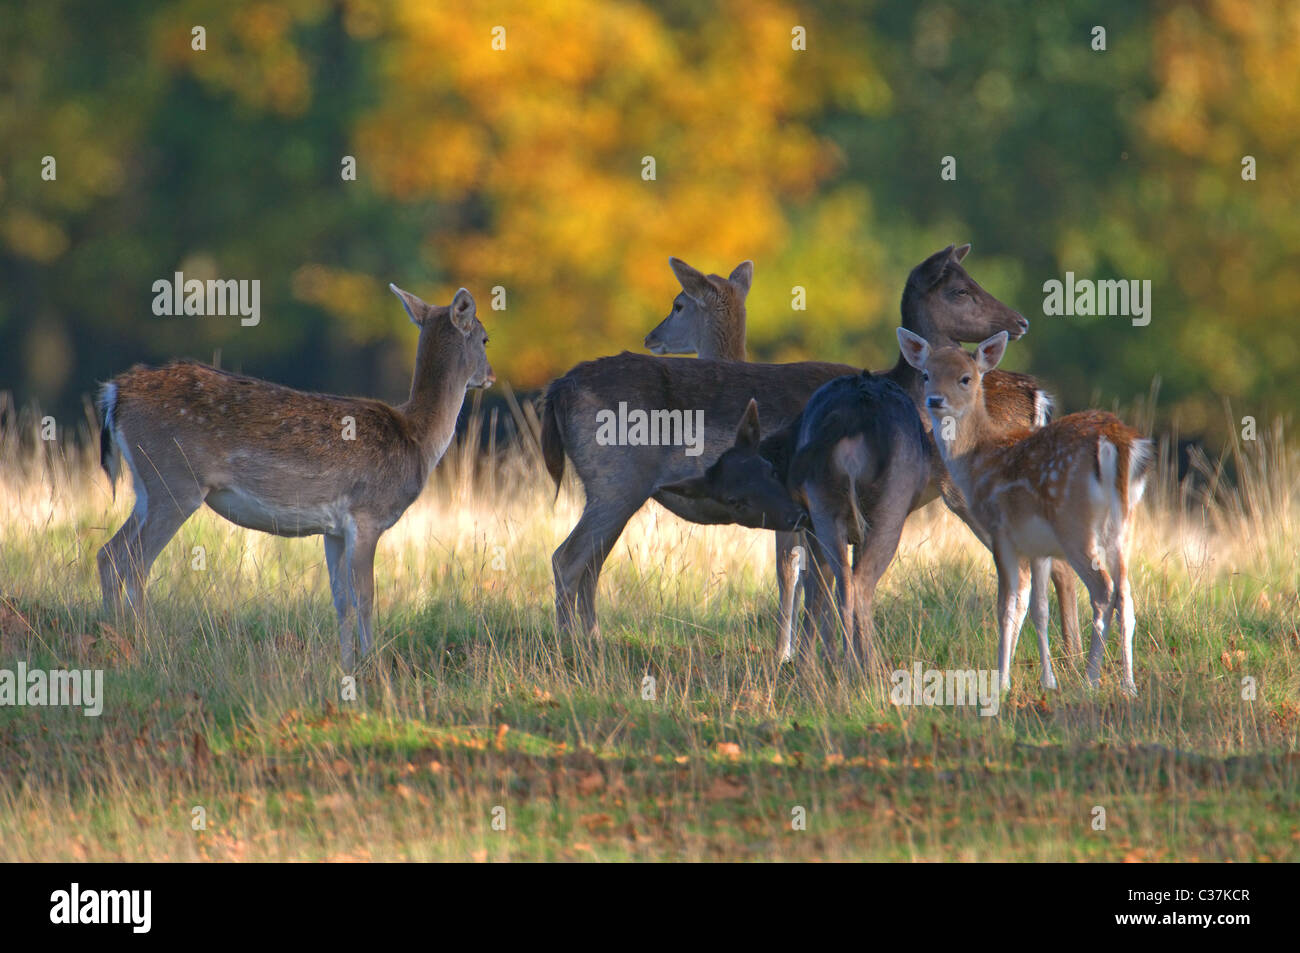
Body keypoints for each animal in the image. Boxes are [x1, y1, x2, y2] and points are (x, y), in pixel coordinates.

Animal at [96, 285, 493, 668]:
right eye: (485, 338)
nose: (490, 376)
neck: (417, 440)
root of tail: (115, 393)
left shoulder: (335, 530)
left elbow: (341, 599)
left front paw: (347, 665)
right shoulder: (367, 514)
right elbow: (366, 597)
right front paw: (374, 664)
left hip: (146, 488)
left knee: (107, 553)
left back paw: (115, 640)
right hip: (176, 481)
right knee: (135, 561)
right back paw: (144, 647)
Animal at [898, 328, 1153, 695]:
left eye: (965, 378)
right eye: (926, 375)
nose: (934, 401)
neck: (978, 458)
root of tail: (1116, 440)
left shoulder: (1002, 533)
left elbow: (1008, 604)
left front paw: (1002, 681)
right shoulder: (1037, 546)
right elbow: (1038, 607)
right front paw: (1048, 680)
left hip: (1074, 524)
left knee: (1103, 590)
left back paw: (1091, 679)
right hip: (1123, 524)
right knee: (1126, 594)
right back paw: (1128, 684)